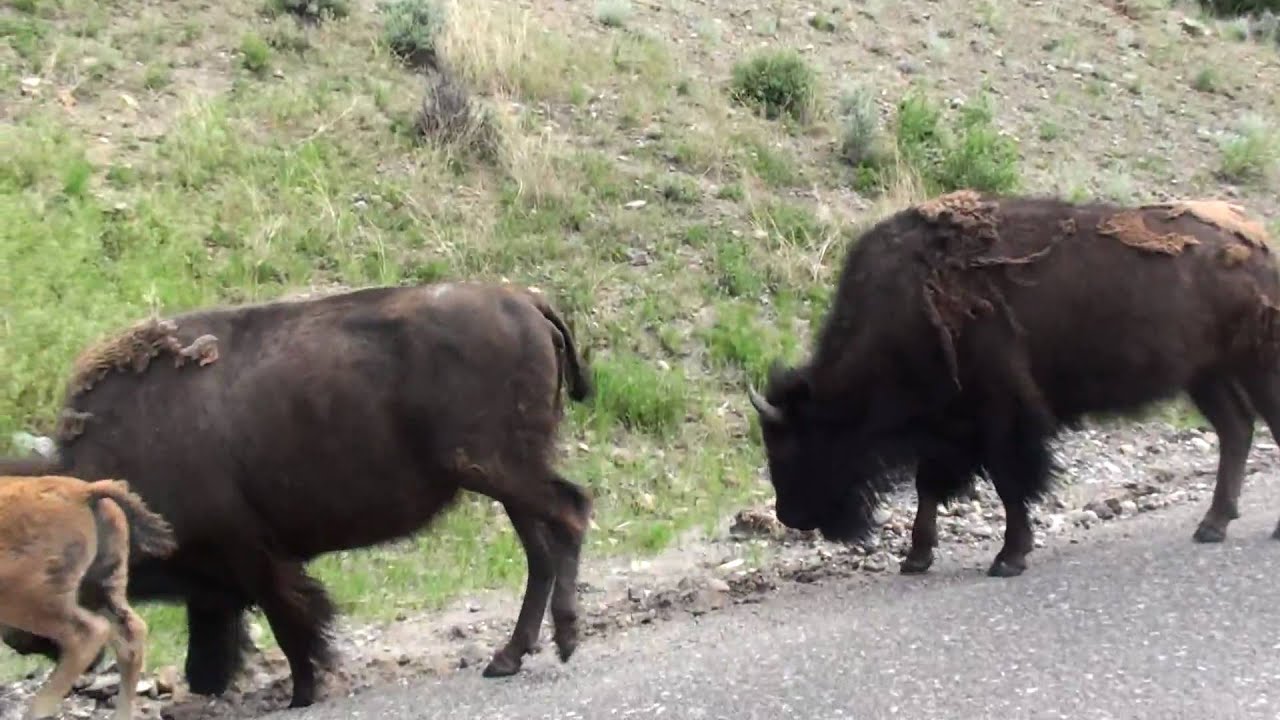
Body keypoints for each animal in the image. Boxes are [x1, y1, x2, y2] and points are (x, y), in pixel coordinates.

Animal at [0, 281, 595, 709]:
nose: (21, 637)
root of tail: (526, 301)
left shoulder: (252, 557)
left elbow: (292, 624)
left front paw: (302, 695)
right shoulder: (221, 576)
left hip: (497, 470)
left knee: (570, 513)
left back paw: (563, 640)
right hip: (506, 479)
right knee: (542, 548)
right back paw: (509, 657)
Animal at [748, 191, 1280, 577]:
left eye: (795, 444)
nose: (790, 514)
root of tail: (1259, 245)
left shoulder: (999, 417)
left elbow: (1009, 482)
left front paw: (1009, 557)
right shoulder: (947, 428)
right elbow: (929, 487)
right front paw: (916, 559)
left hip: (1254, 367)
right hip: (1206, 375)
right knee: (1236, 429)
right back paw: (1212, 525)